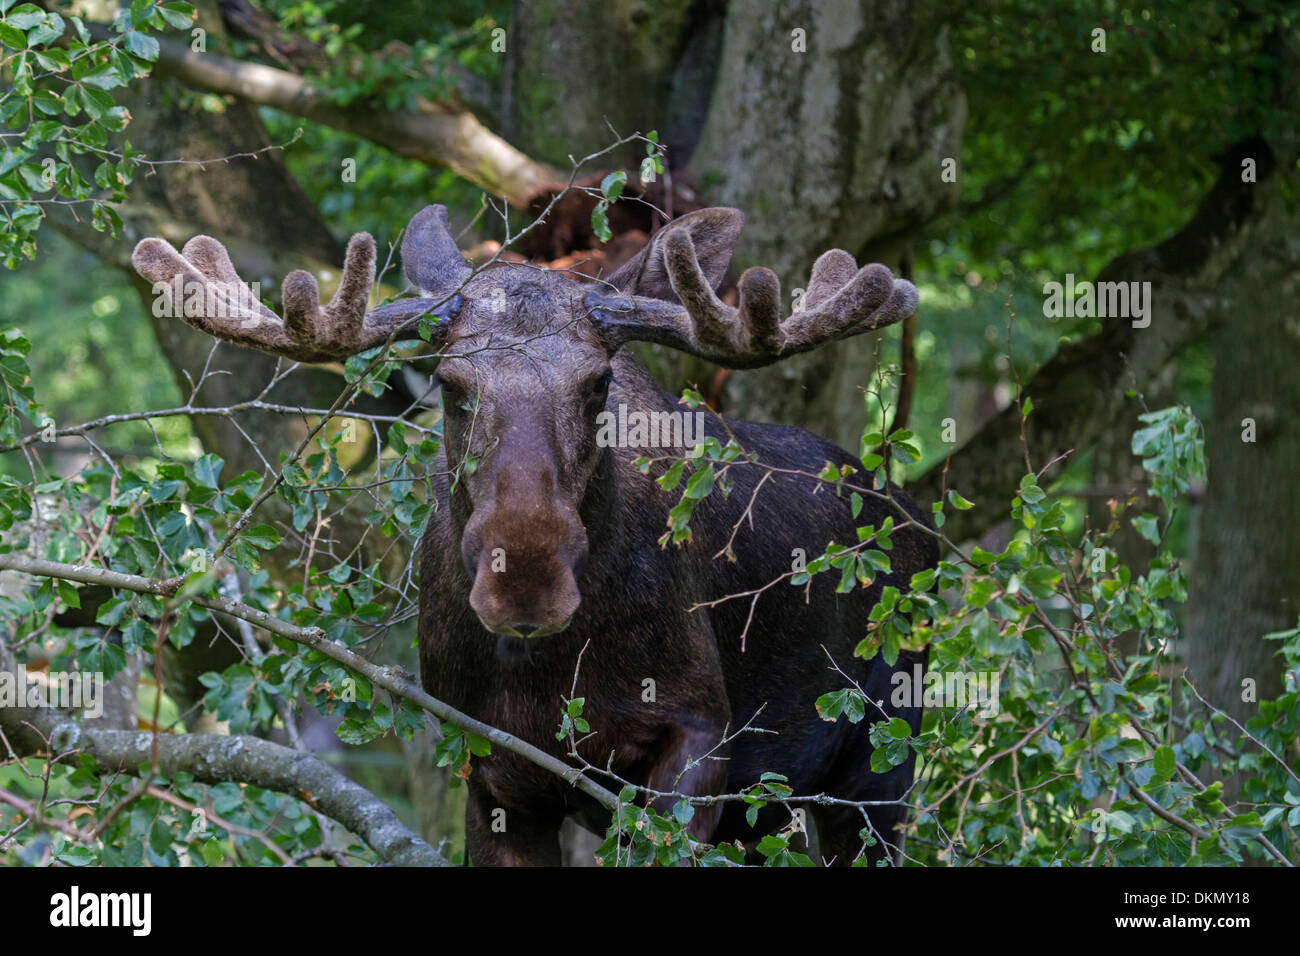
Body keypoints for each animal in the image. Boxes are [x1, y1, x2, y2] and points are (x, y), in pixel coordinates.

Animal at [132, 203, 939, 866]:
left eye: (598, 384)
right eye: (451, 385)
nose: (525, 580)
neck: (547, 672)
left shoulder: (699, 732)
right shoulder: (490, 766)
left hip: (879, 761)